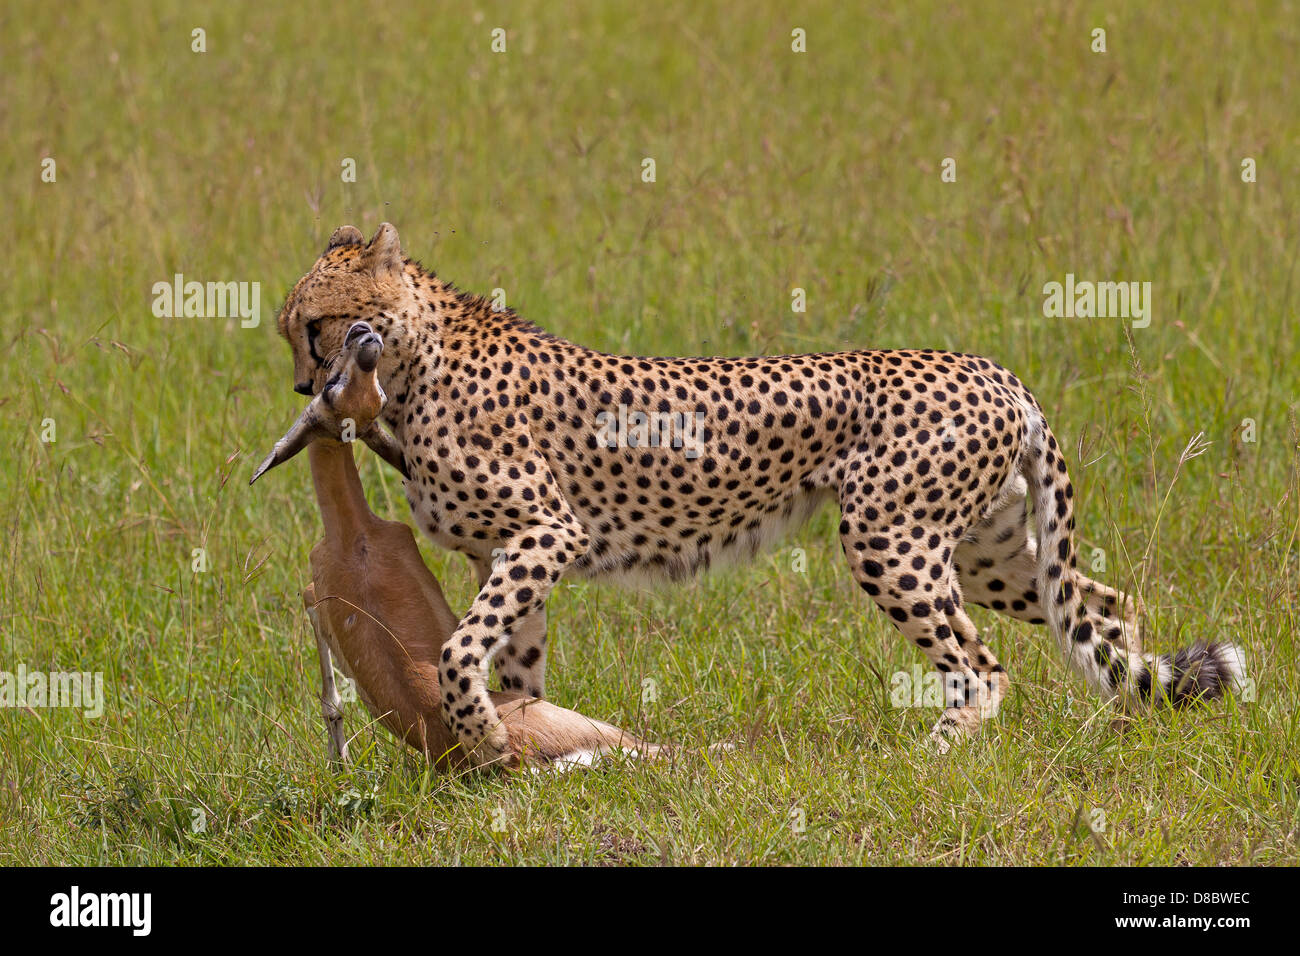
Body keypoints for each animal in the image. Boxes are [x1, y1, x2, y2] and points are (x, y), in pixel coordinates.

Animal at [251, 321, 659, 770]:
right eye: (332, 386)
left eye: (377, 396)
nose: (364, 337)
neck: (353, 535)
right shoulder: (316, 597)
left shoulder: (315, 598)